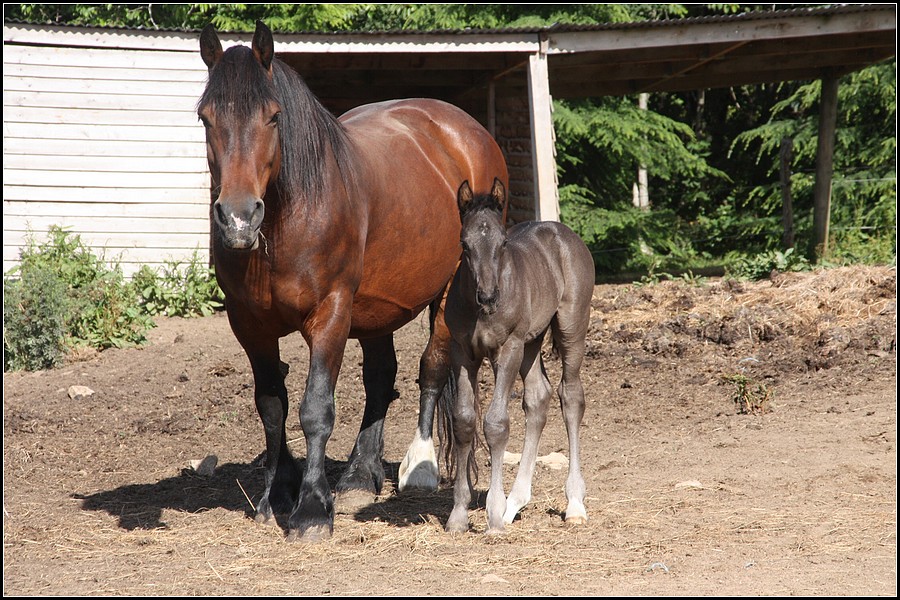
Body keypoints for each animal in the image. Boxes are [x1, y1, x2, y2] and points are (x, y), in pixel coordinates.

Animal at [196, 21, 508, 541]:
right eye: (205, 118)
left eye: (274, 117)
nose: (238, 219)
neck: (288, 217)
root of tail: (465, 129)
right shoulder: (250, 325)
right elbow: (272, 406)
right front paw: (276, 496)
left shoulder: (331, 312)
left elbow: (316, 409)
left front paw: (311, 511)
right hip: (375, 309)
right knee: (381, 378)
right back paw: (361, 476)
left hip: (448, 294)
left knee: (431, 367)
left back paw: (419, 467)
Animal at [443, 178, 595, 534]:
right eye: (464, 244)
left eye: (503, 242)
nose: (488, 296)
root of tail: (563, 233)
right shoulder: (461, 352)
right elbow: (464, 420)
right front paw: (459, 515)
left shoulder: (507, 348)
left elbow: (496, 423)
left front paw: (494, 517)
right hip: (532, 341)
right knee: (538, 397)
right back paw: (515, 502)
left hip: (571, 328)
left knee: (571, 396)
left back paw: (574, 504)